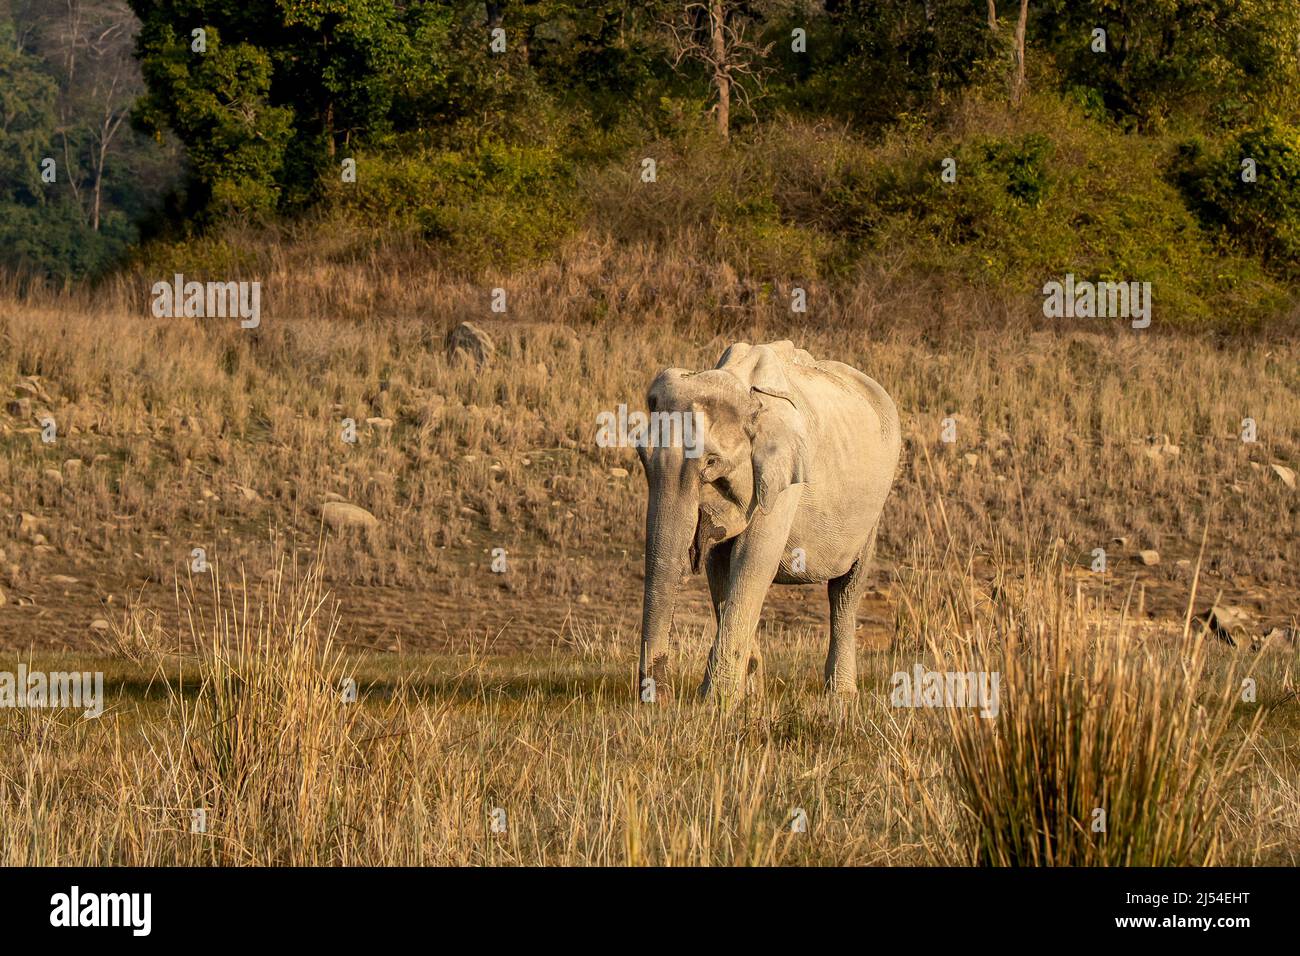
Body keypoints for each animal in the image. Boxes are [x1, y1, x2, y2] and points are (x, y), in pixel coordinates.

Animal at [636, 340, 901, 705]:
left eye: (712, 462)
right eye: (641, 454)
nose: (660, 699)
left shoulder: (785, 478)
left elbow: (753, 560)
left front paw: (715, 703)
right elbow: (721, 567)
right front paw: (747, 695)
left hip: (874, 506)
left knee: (846, 588)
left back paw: (842, 696)